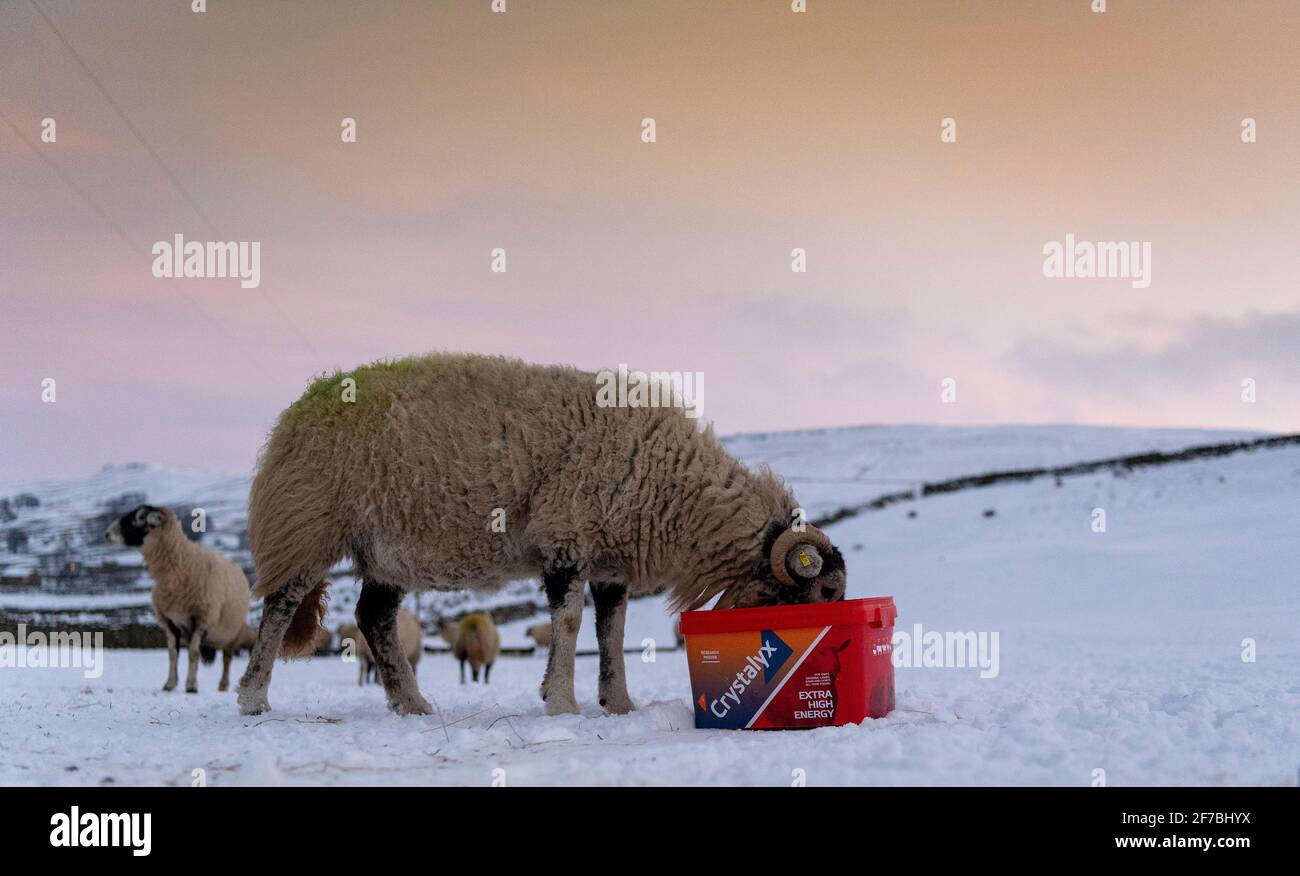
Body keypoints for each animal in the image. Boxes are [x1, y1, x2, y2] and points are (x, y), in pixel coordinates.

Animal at [105, 504, 250, 694]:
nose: (107, 534)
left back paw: (223, 685)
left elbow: (193, 653)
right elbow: (173, 654)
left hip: (232, 633)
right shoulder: (170, 621)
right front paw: (170, 684)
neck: (181, 566)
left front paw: (191, 686)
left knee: (227, 658)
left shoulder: (202, 618)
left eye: (140, 517)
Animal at [237, 353, 846, 718]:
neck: (674, 485)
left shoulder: (610, 561)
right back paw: (252, 698)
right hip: (307, 526)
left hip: (387, 552)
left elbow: (612, 633)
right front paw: (561, 702)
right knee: (281, 606)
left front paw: (618, 702)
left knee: (375, 619)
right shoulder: (567, 538)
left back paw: (412, 704)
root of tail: (290, 417)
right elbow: (571, 624)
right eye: (823, 590)